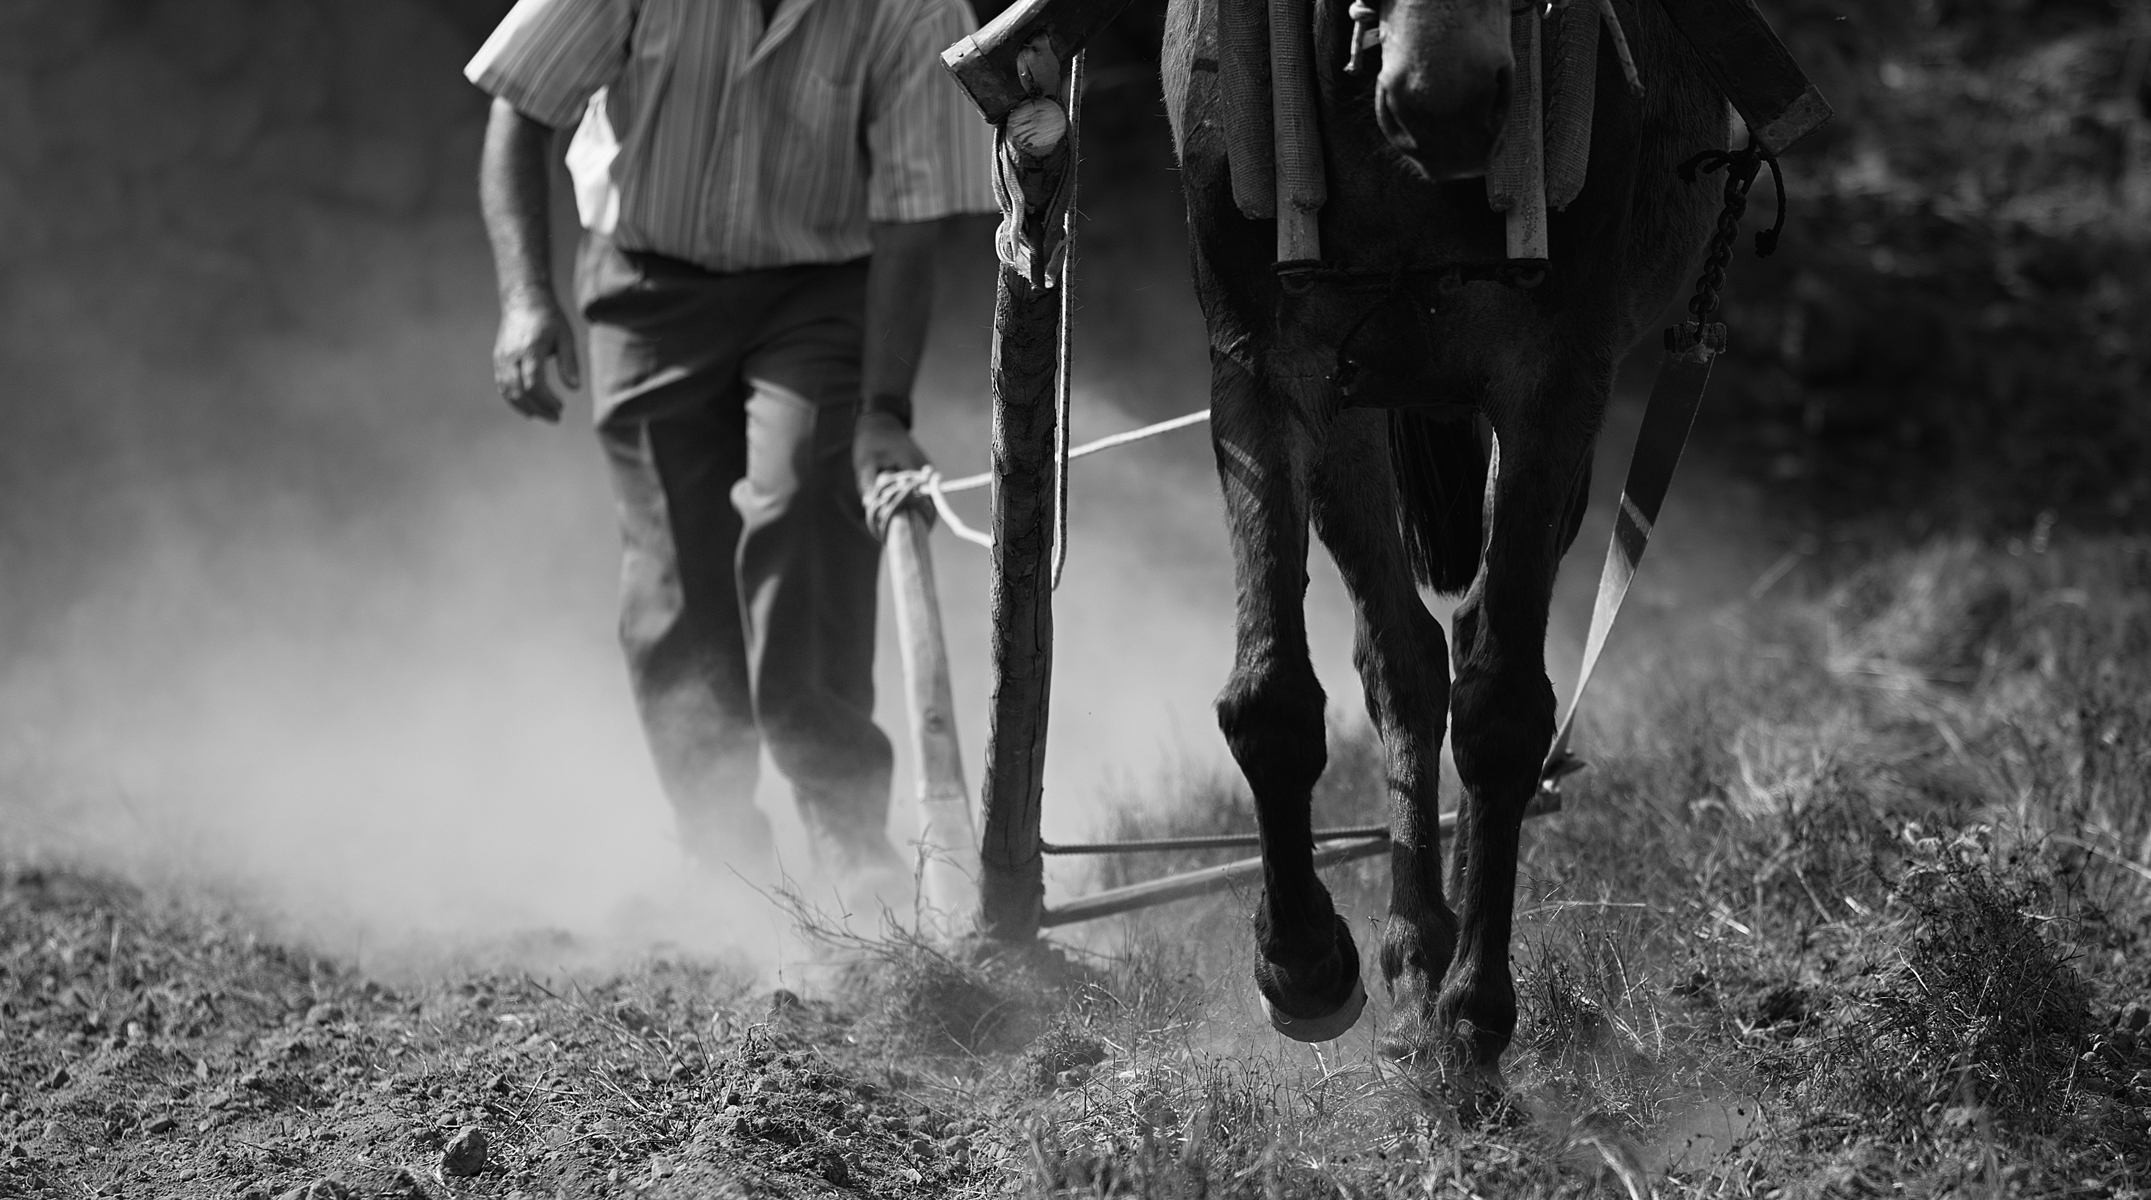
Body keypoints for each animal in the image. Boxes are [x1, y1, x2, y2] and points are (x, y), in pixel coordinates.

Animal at [1161, 0, 1726, 1080]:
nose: (1448, 95)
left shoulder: (1555, 376)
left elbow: (1503, 707)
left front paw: (1476, 1004)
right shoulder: (1262, 363)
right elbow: (1271, 695)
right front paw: (1301, 959)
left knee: (1466, 646)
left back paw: (1446, 947)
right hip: (1358, 408)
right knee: (1404, 659)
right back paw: (1414, 940)